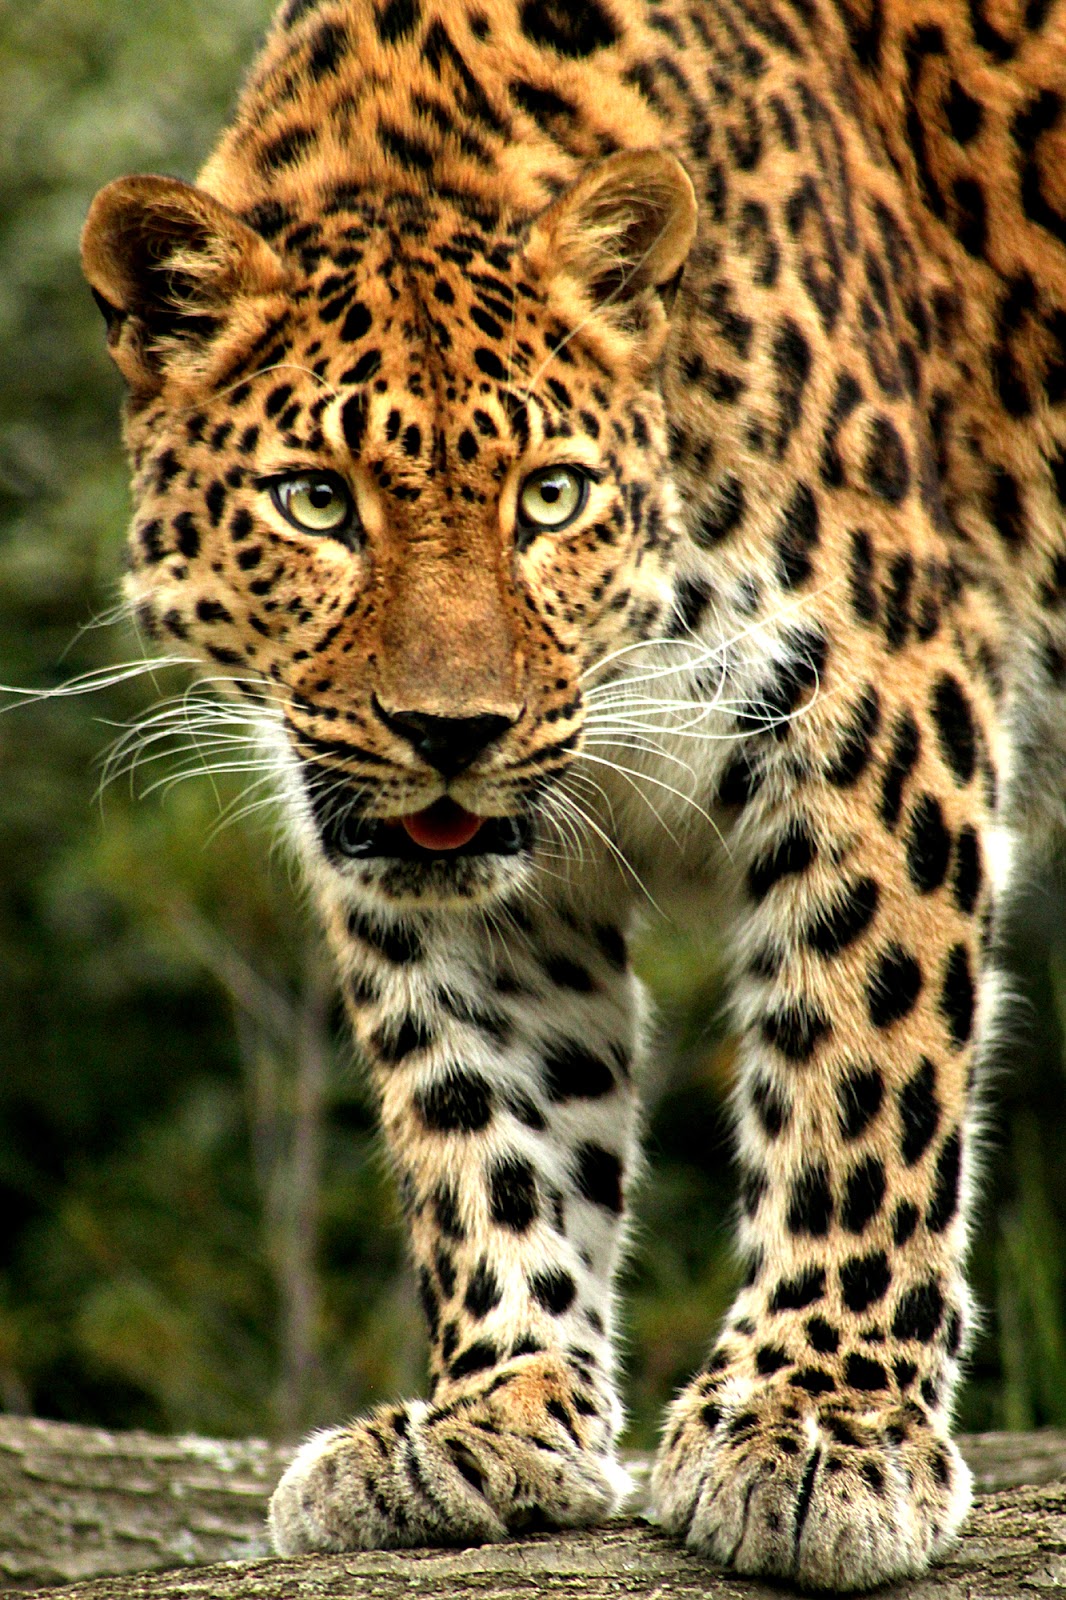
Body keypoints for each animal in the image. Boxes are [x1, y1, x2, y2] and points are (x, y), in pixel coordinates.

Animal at [77, 0, 1066, 1587]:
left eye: (548, 495)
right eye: (316, 501)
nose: (452, 730)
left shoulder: (878, 697)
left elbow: (862, 1068)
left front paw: (816, 1427)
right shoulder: (450, 873)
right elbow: (489, 1115)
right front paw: (495, 1413)